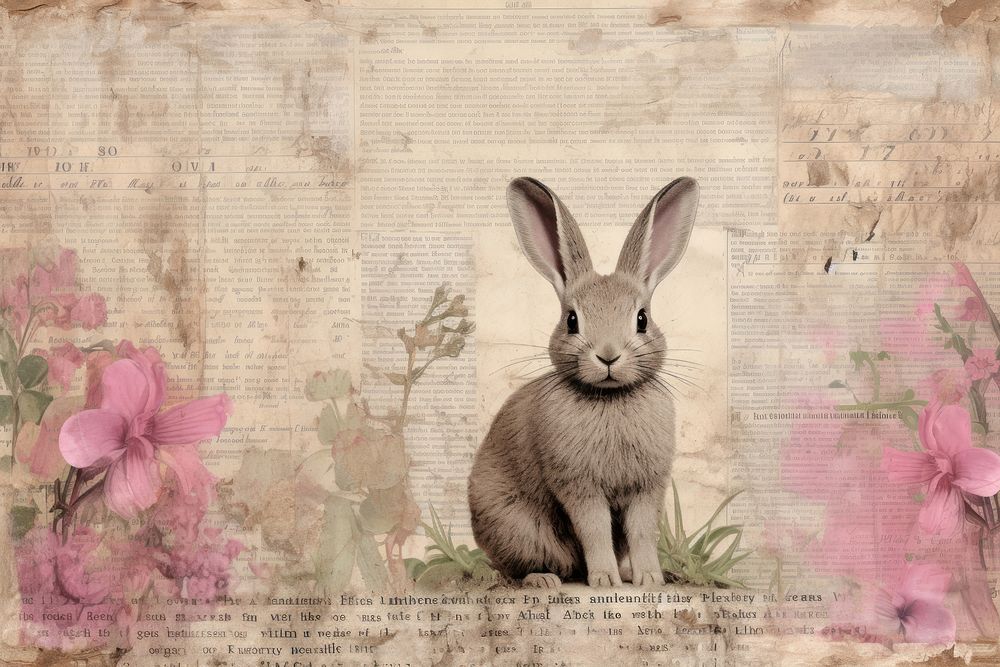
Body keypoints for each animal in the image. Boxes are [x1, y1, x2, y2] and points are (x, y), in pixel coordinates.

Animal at [467, 176, 699, 588]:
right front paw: (605, 579)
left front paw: (649, 578)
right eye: (572, 320)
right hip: (515, 527)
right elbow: (594, 531)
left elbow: (642, 532)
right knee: (513, 568)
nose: (608, 355)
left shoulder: (646, 487)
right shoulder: (579, 487)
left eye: (642, 319)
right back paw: (542, 581)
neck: (610, 398)